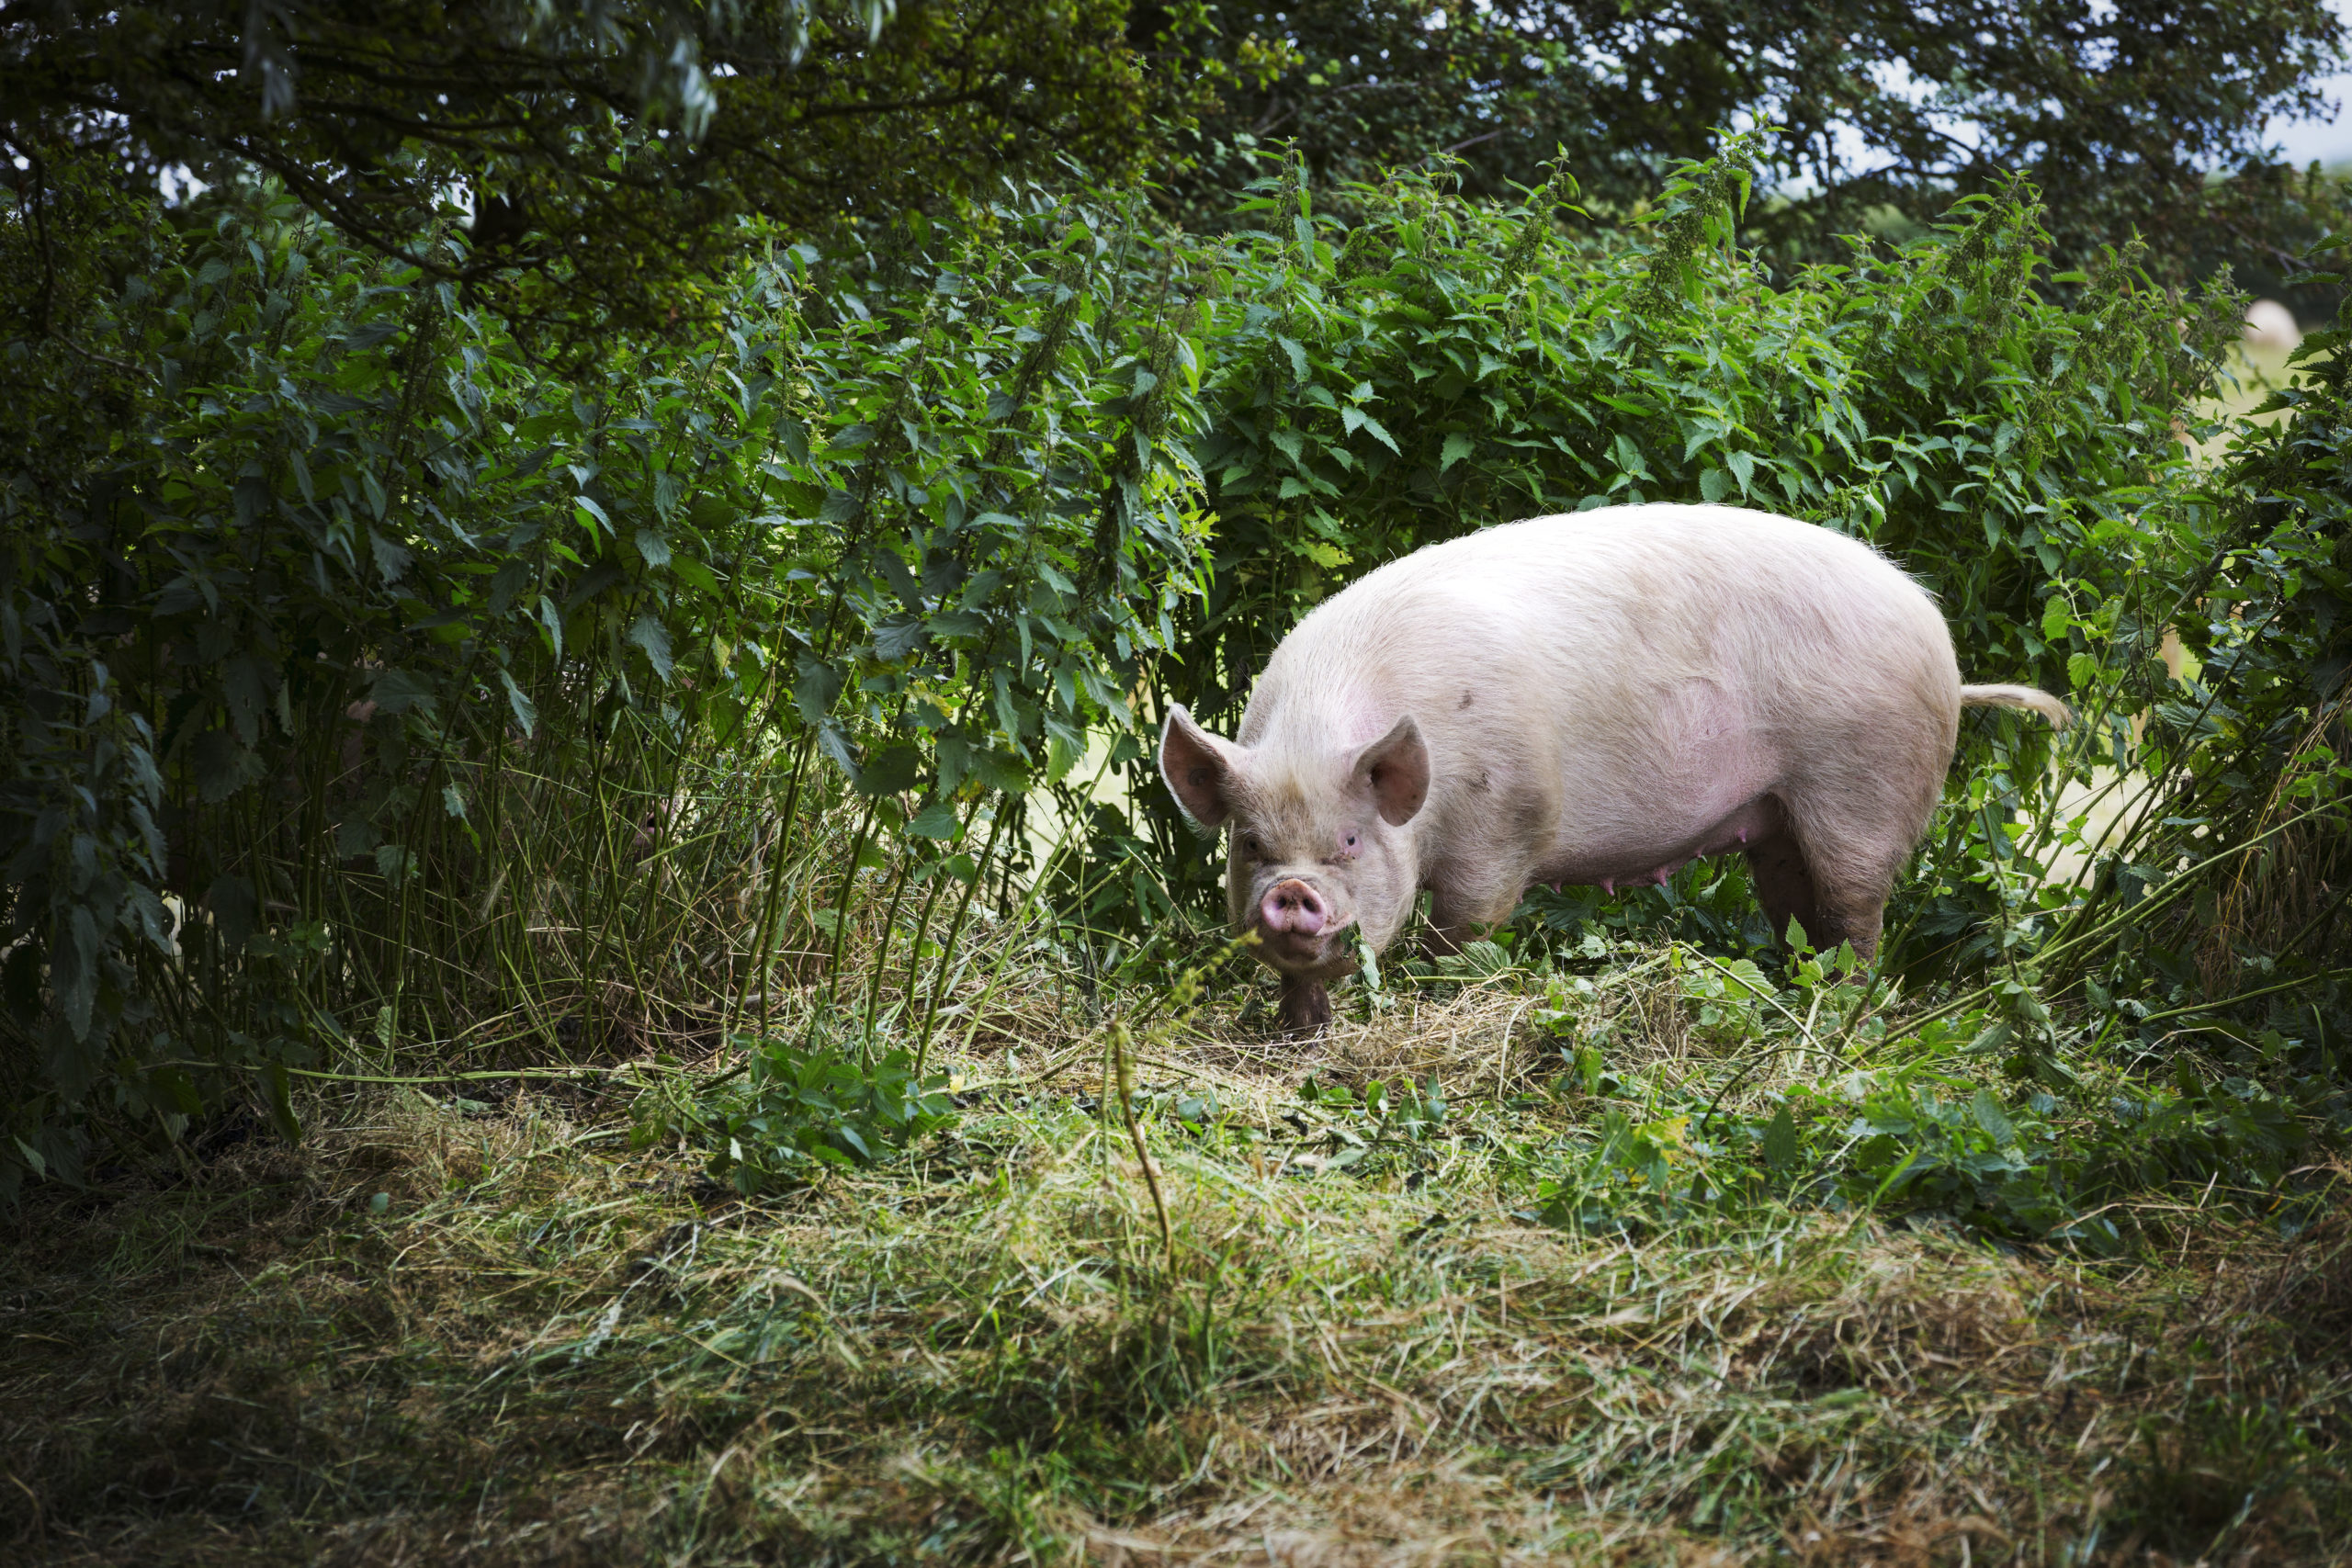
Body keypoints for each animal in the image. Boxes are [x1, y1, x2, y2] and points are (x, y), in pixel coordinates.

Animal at [1157, 504, 2069, 1034]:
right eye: (1250, 846)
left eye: (1349, 839)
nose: (1290, 891)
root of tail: (1946, 656)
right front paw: (1298, 1029)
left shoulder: (1504, 823)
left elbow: (1466, 928)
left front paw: (1439, 995)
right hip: (1776, 820)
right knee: (1795, 911)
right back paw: (1787, 989)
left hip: (1864, 789)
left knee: (1859, 914)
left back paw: (1842, 1003)